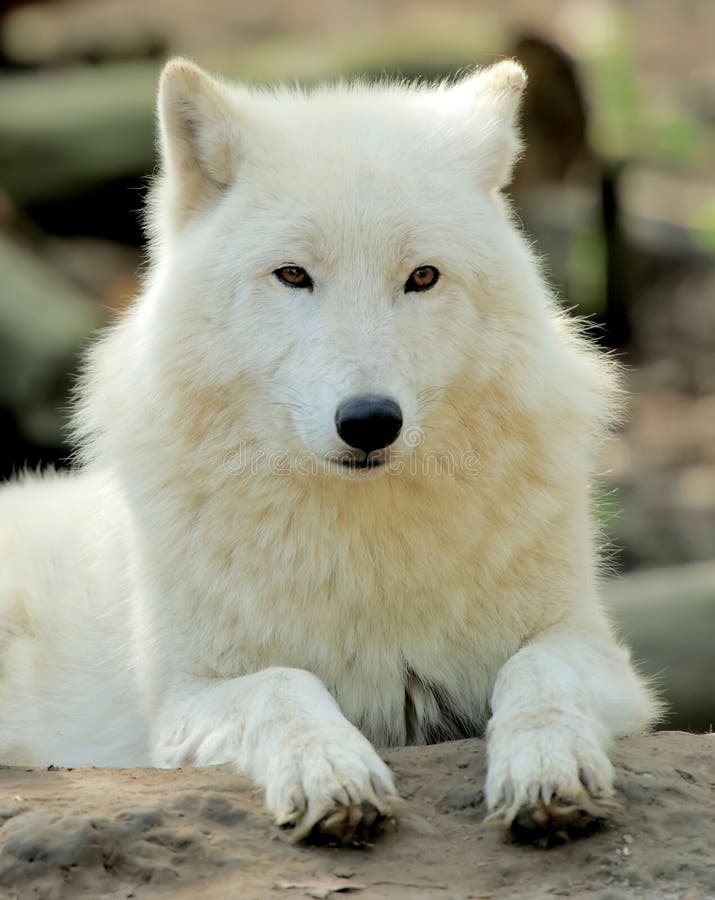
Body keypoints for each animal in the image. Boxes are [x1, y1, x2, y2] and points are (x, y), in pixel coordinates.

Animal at [0, 58, 657, 843]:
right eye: (293, 275)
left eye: (422, 277)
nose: (369, 421)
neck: (364, 542)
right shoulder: (186, 699)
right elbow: (286, 685)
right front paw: (331, 773)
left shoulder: (591, 648)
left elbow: (535, 674)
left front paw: (547, 770)